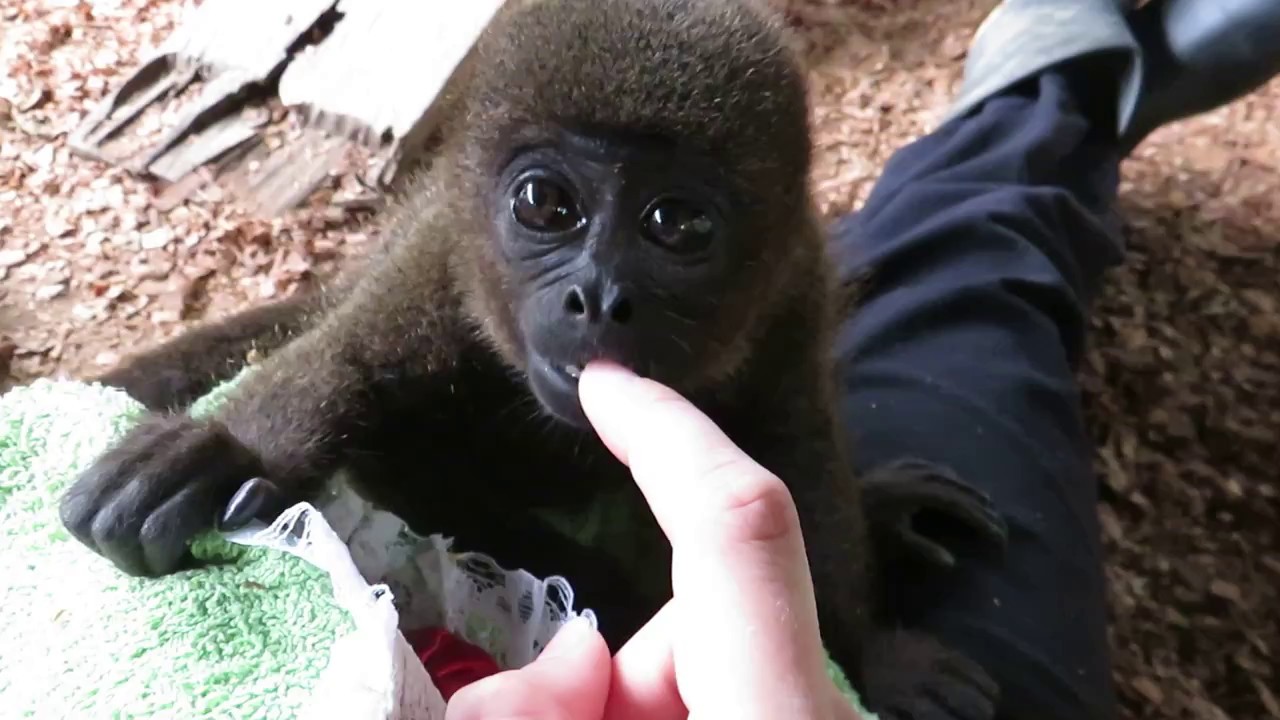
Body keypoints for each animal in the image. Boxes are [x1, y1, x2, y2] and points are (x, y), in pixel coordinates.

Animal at [64, 1, 1005, 717]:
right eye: (545, 203)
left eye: (677, 224)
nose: (600, 296)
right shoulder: (441, 257)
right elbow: (361, 385)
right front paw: (230, 451)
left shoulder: (794, 289)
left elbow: (800, 460)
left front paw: (871, 651)